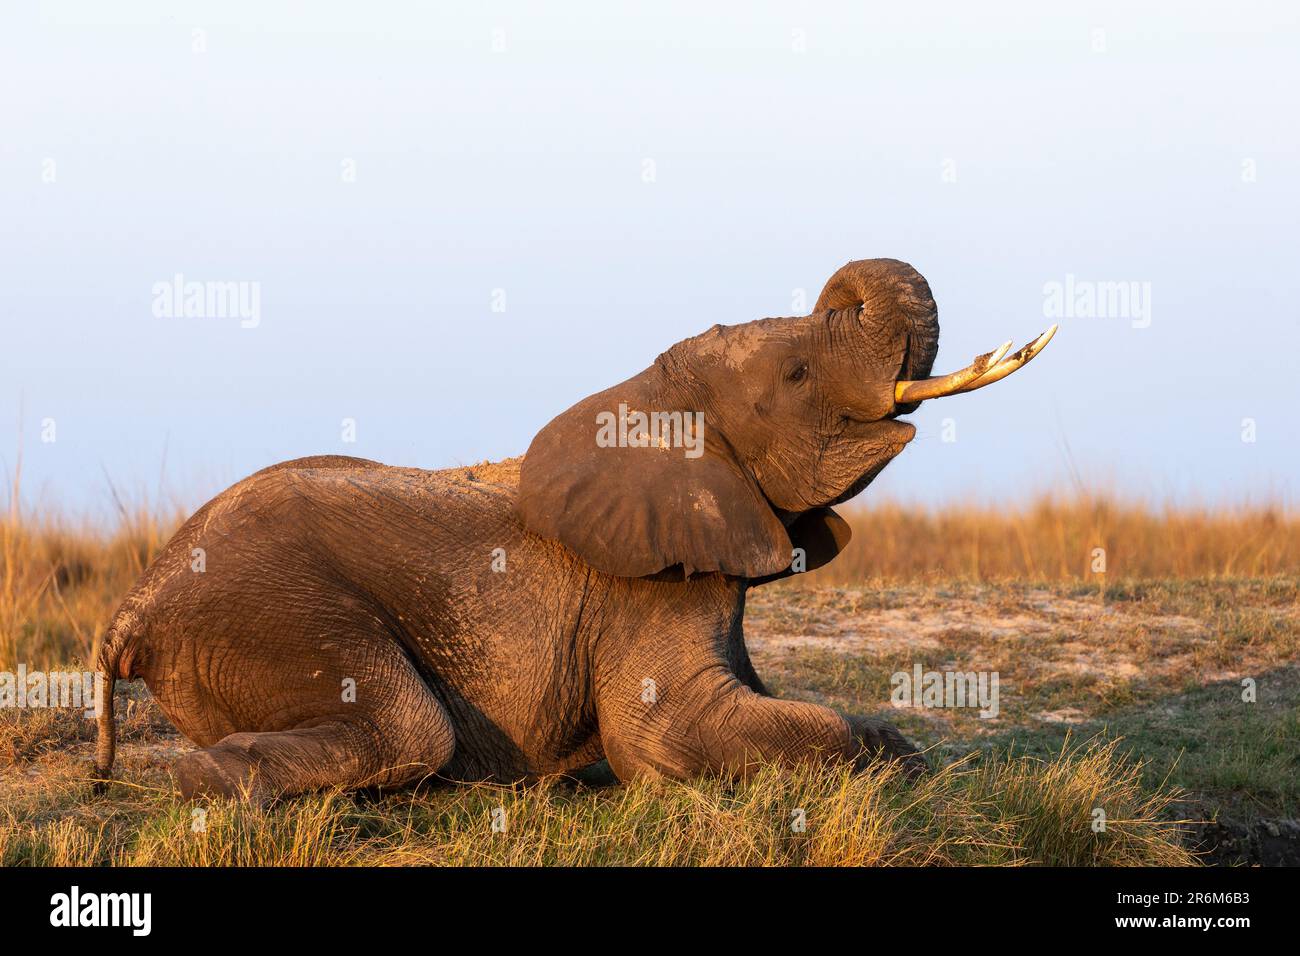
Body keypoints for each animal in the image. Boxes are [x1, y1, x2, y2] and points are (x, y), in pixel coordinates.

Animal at [94, 258, 1055, 801]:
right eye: (794, 374)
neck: (647, 397)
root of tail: (132, 608)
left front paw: (906, 761)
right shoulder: (646, 591)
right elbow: (667, 738)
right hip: (262, 612)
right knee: (410, 727)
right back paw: (205, 781)